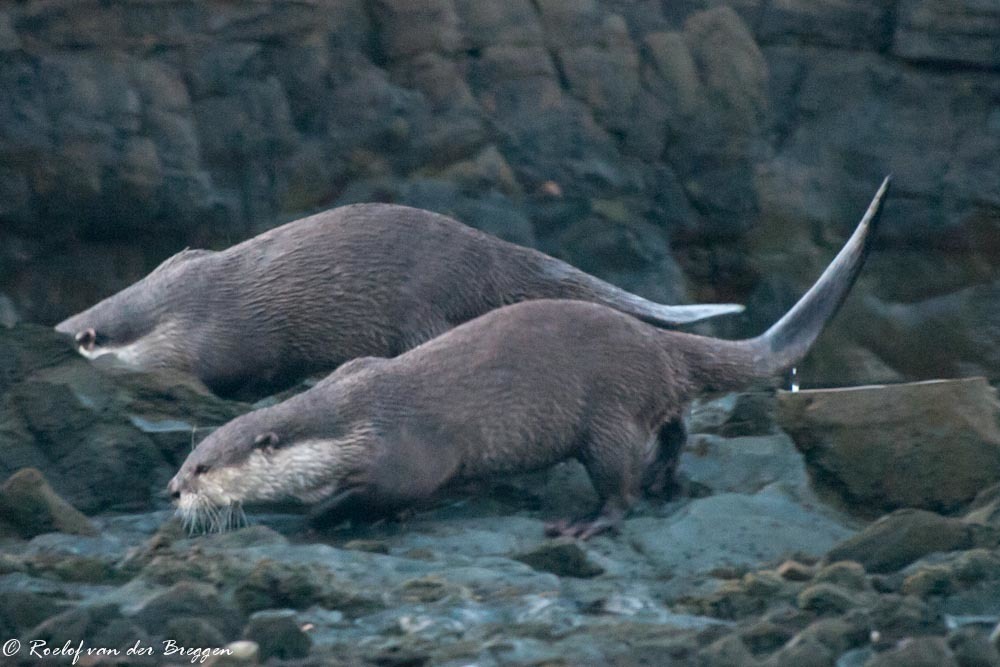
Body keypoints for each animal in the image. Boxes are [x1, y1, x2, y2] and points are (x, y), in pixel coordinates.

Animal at [168, 179, 889, 538]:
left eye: (203, 466)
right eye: (189, 455)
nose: (173, 488)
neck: (348, 420)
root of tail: (654, 339)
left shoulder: (407, 450)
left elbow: (391, 492)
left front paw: (321, 510)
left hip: (607, 414)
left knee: (618, 479)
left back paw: (589, 522)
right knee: (676, 424)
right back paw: (667, 477)